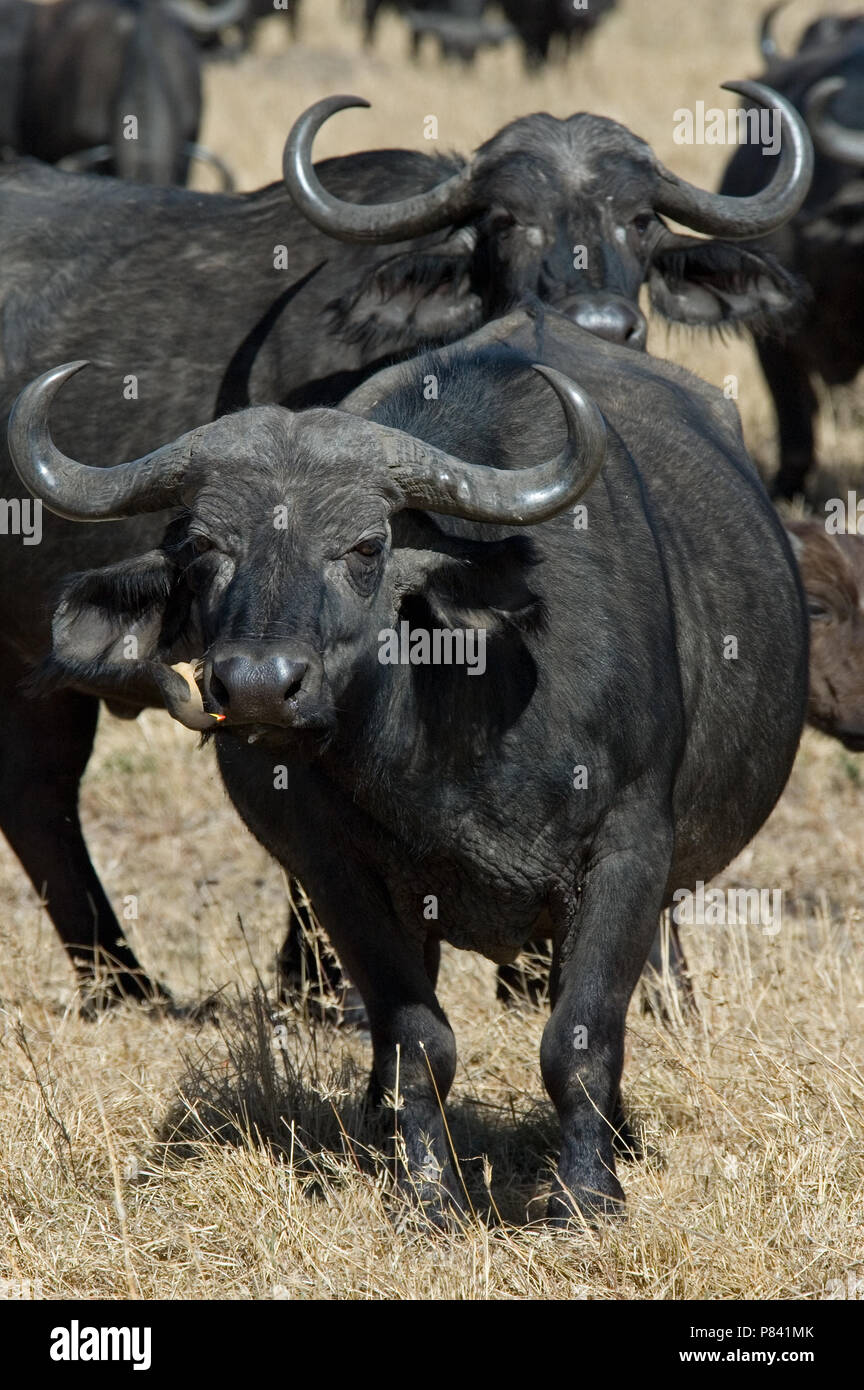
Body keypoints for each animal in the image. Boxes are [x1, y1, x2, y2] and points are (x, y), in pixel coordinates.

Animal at [0, 87, 810, 1006]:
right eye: (504, 220)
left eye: (640, 218)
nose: (605, 324)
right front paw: (316, 985)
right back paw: (128, 983)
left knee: (34, 793)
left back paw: (124, 983)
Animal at [9, 304, 808, 1220]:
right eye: (206, 547)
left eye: (364, 547)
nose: (258, 685)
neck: (458, 737)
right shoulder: (337, 873)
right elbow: (416, 1039)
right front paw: (428, 1194)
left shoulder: (630, 849)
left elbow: (581, 1037)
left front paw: (587, 1195)